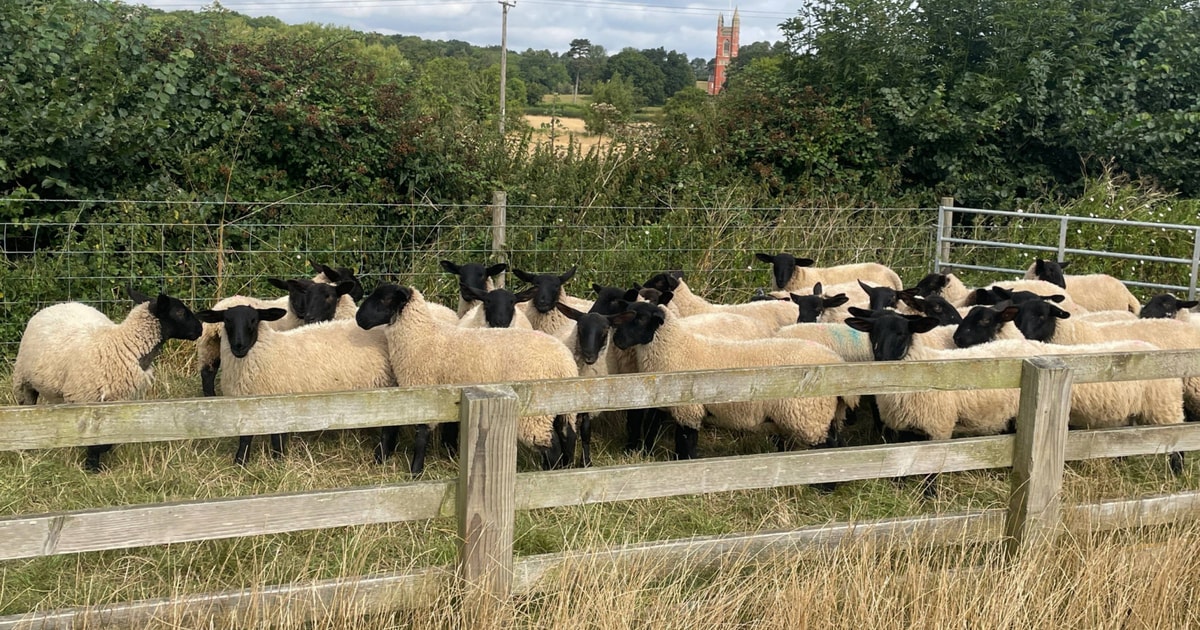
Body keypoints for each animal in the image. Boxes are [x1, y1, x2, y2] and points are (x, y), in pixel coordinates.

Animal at [12, 288, 204, 471]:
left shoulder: (119, 401)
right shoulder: (84, 398)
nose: (200, 329)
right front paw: (92, 466)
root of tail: (61, 304)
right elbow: (92, 439)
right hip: (24, 380)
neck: (124, 346)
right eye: (180, 312)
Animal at [196, 305, 394, 465]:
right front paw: (240, 462)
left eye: (254, 320)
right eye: (227, 320)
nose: (239, 346)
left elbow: (276, 438)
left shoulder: (278, 400)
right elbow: (245, 437)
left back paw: (381, 457)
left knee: (391, 426)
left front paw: (278, 460)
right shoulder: (244, 404)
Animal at [356, 284, 583, 475]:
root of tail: (564, 363)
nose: (359, 319)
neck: (421, 338)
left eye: (385, 299)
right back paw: (565, 470)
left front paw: (415, 472)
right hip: (561, 406)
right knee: (567, 437)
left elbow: (421, 437)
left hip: (535, 413)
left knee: (551, 446)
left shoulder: (425, 392)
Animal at [610, 292, 858, 463]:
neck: (678, 348)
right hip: (824, 414)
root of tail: (835, 361)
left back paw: (824, 487)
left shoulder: (689, 410)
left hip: (809, 414)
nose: (618, 341)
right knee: (837, 442)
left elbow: (686, 443)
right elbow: (651, 431)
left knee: (826, 446)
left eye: (641, 320)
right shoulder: (663, 404)